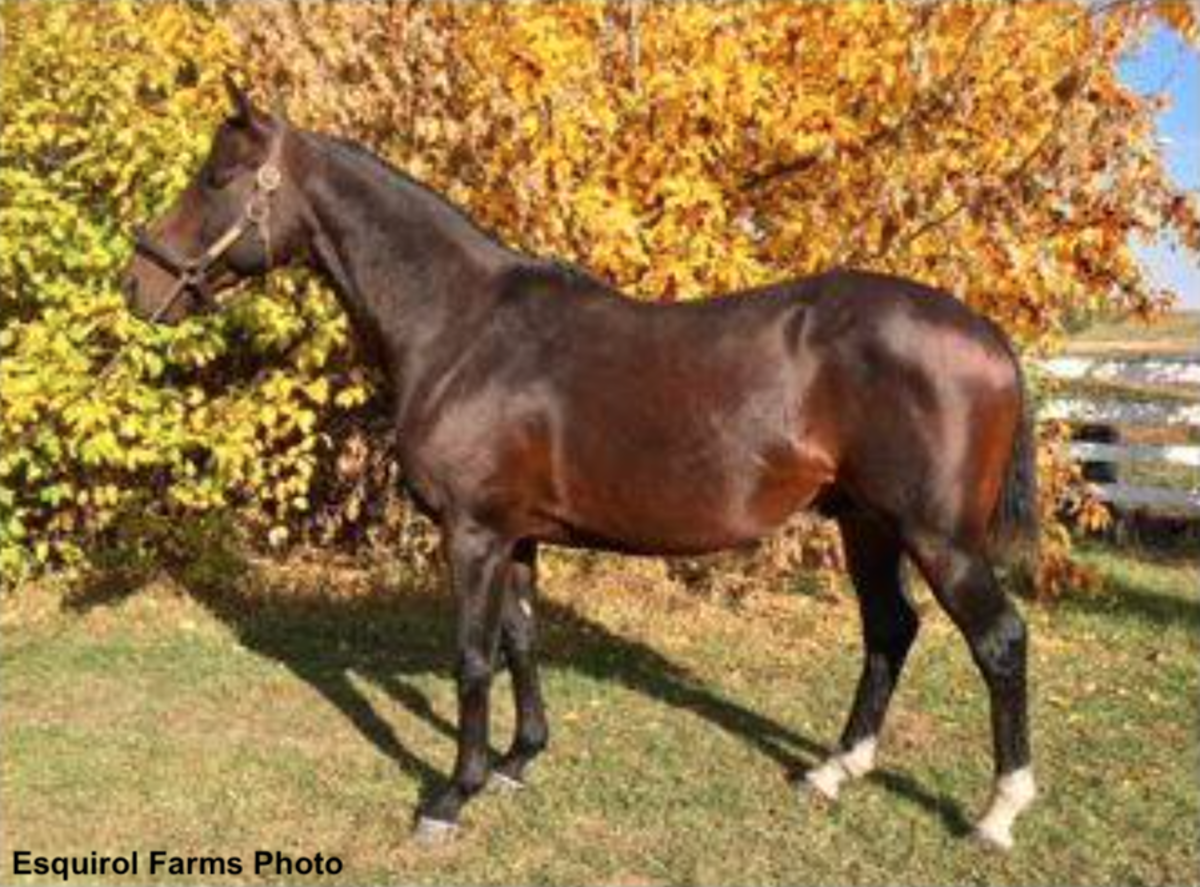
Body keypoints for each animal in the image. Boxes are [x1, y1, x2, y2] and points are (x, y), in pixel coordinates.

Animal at [122, 79, 1039, 850]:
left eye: (216, 178)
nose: (137, 284)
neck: (463, 329)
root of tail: (988, 337)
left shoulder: (472, 534)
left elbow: (473, 656)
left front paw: (451, 796)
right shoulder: (515, 535)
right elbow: (521, 640)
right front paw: (518, 761)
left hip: (938, 536)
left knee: (998, 640)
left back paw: (997, 813)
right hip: (866, 523)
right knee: (889, 629)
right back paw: (833, 771)